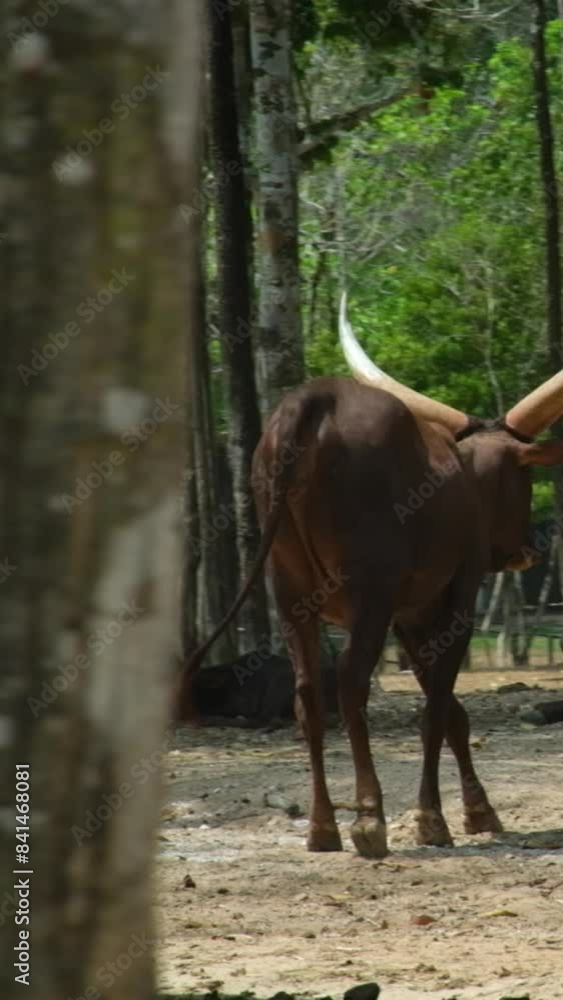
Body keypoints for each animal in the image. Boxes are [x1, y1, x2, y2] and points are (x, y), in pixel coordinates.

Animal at [179, 294, 563, 859]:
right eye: (526, 475)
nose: (529, 549)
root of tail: (310, 403)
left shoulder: (410, 613)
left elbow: (452, 712)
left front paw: (479, 811)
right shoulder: (454, 600)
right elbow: (437, 708)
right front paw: (433, 819)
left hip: (290, 594)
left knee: (308, 695)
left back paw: (322, 827)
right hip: (368, 595)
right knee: (351, 684)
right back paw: (368, 819)